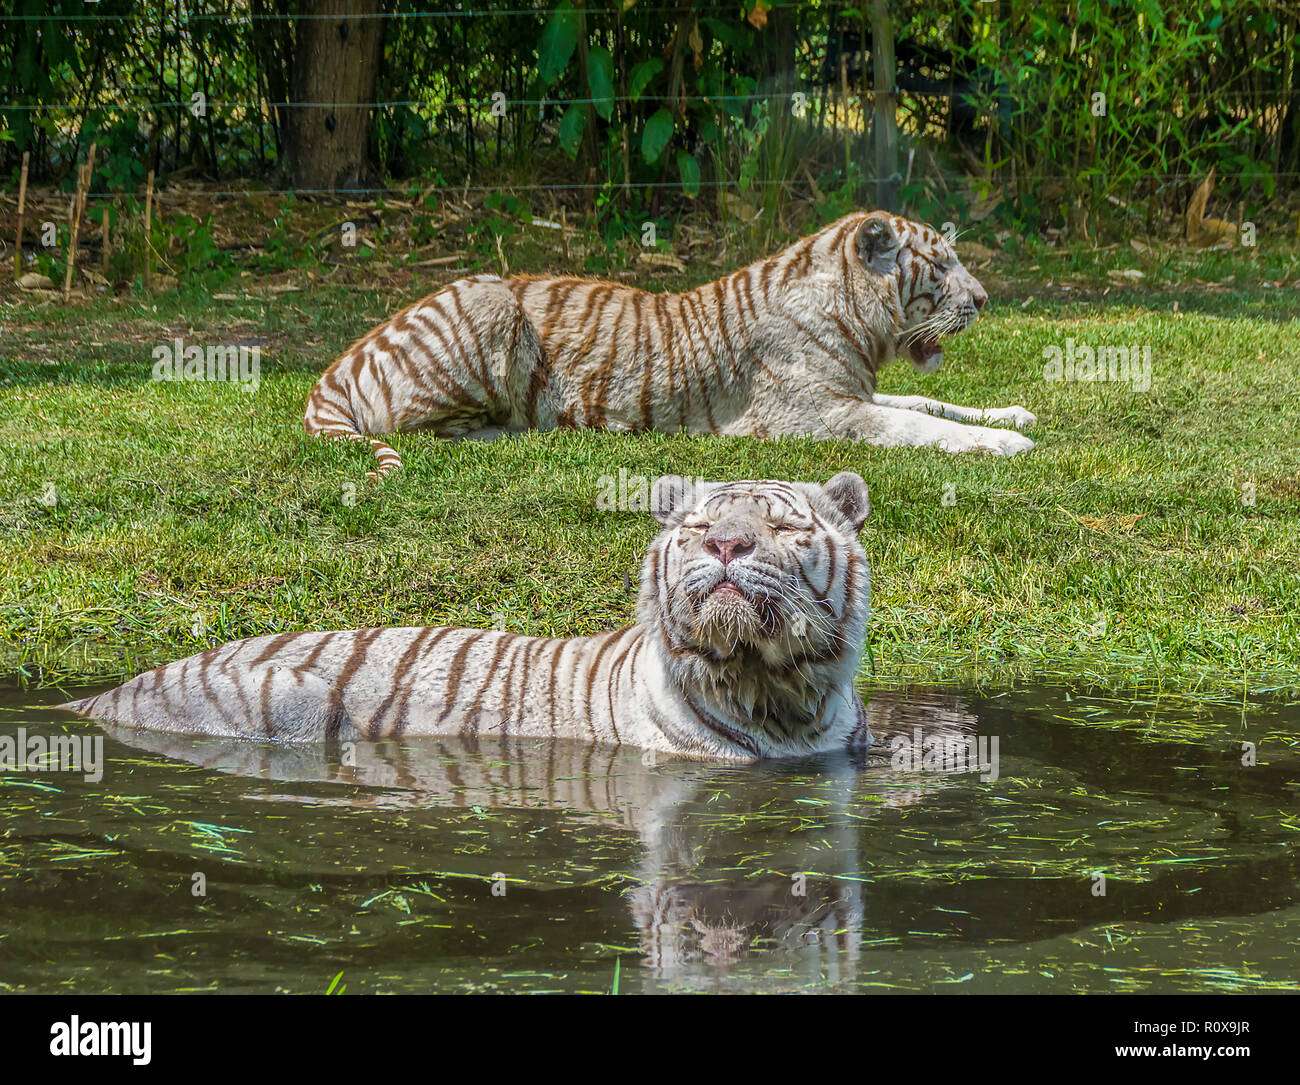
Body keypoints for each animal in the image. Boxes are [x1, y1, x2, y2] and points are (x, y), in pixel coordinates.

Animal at [303, 211, 1036, 479]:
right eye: (940, 265)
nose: (983, 300)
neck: (863, 323)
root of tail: (337, 363)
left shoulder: (852, 391)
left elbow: (929, 403)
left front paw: (1013, 415)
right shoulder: (818, 414)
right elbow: (916, 424)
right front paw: (1009, 445)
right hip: (488, 300)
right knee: (423, 428)